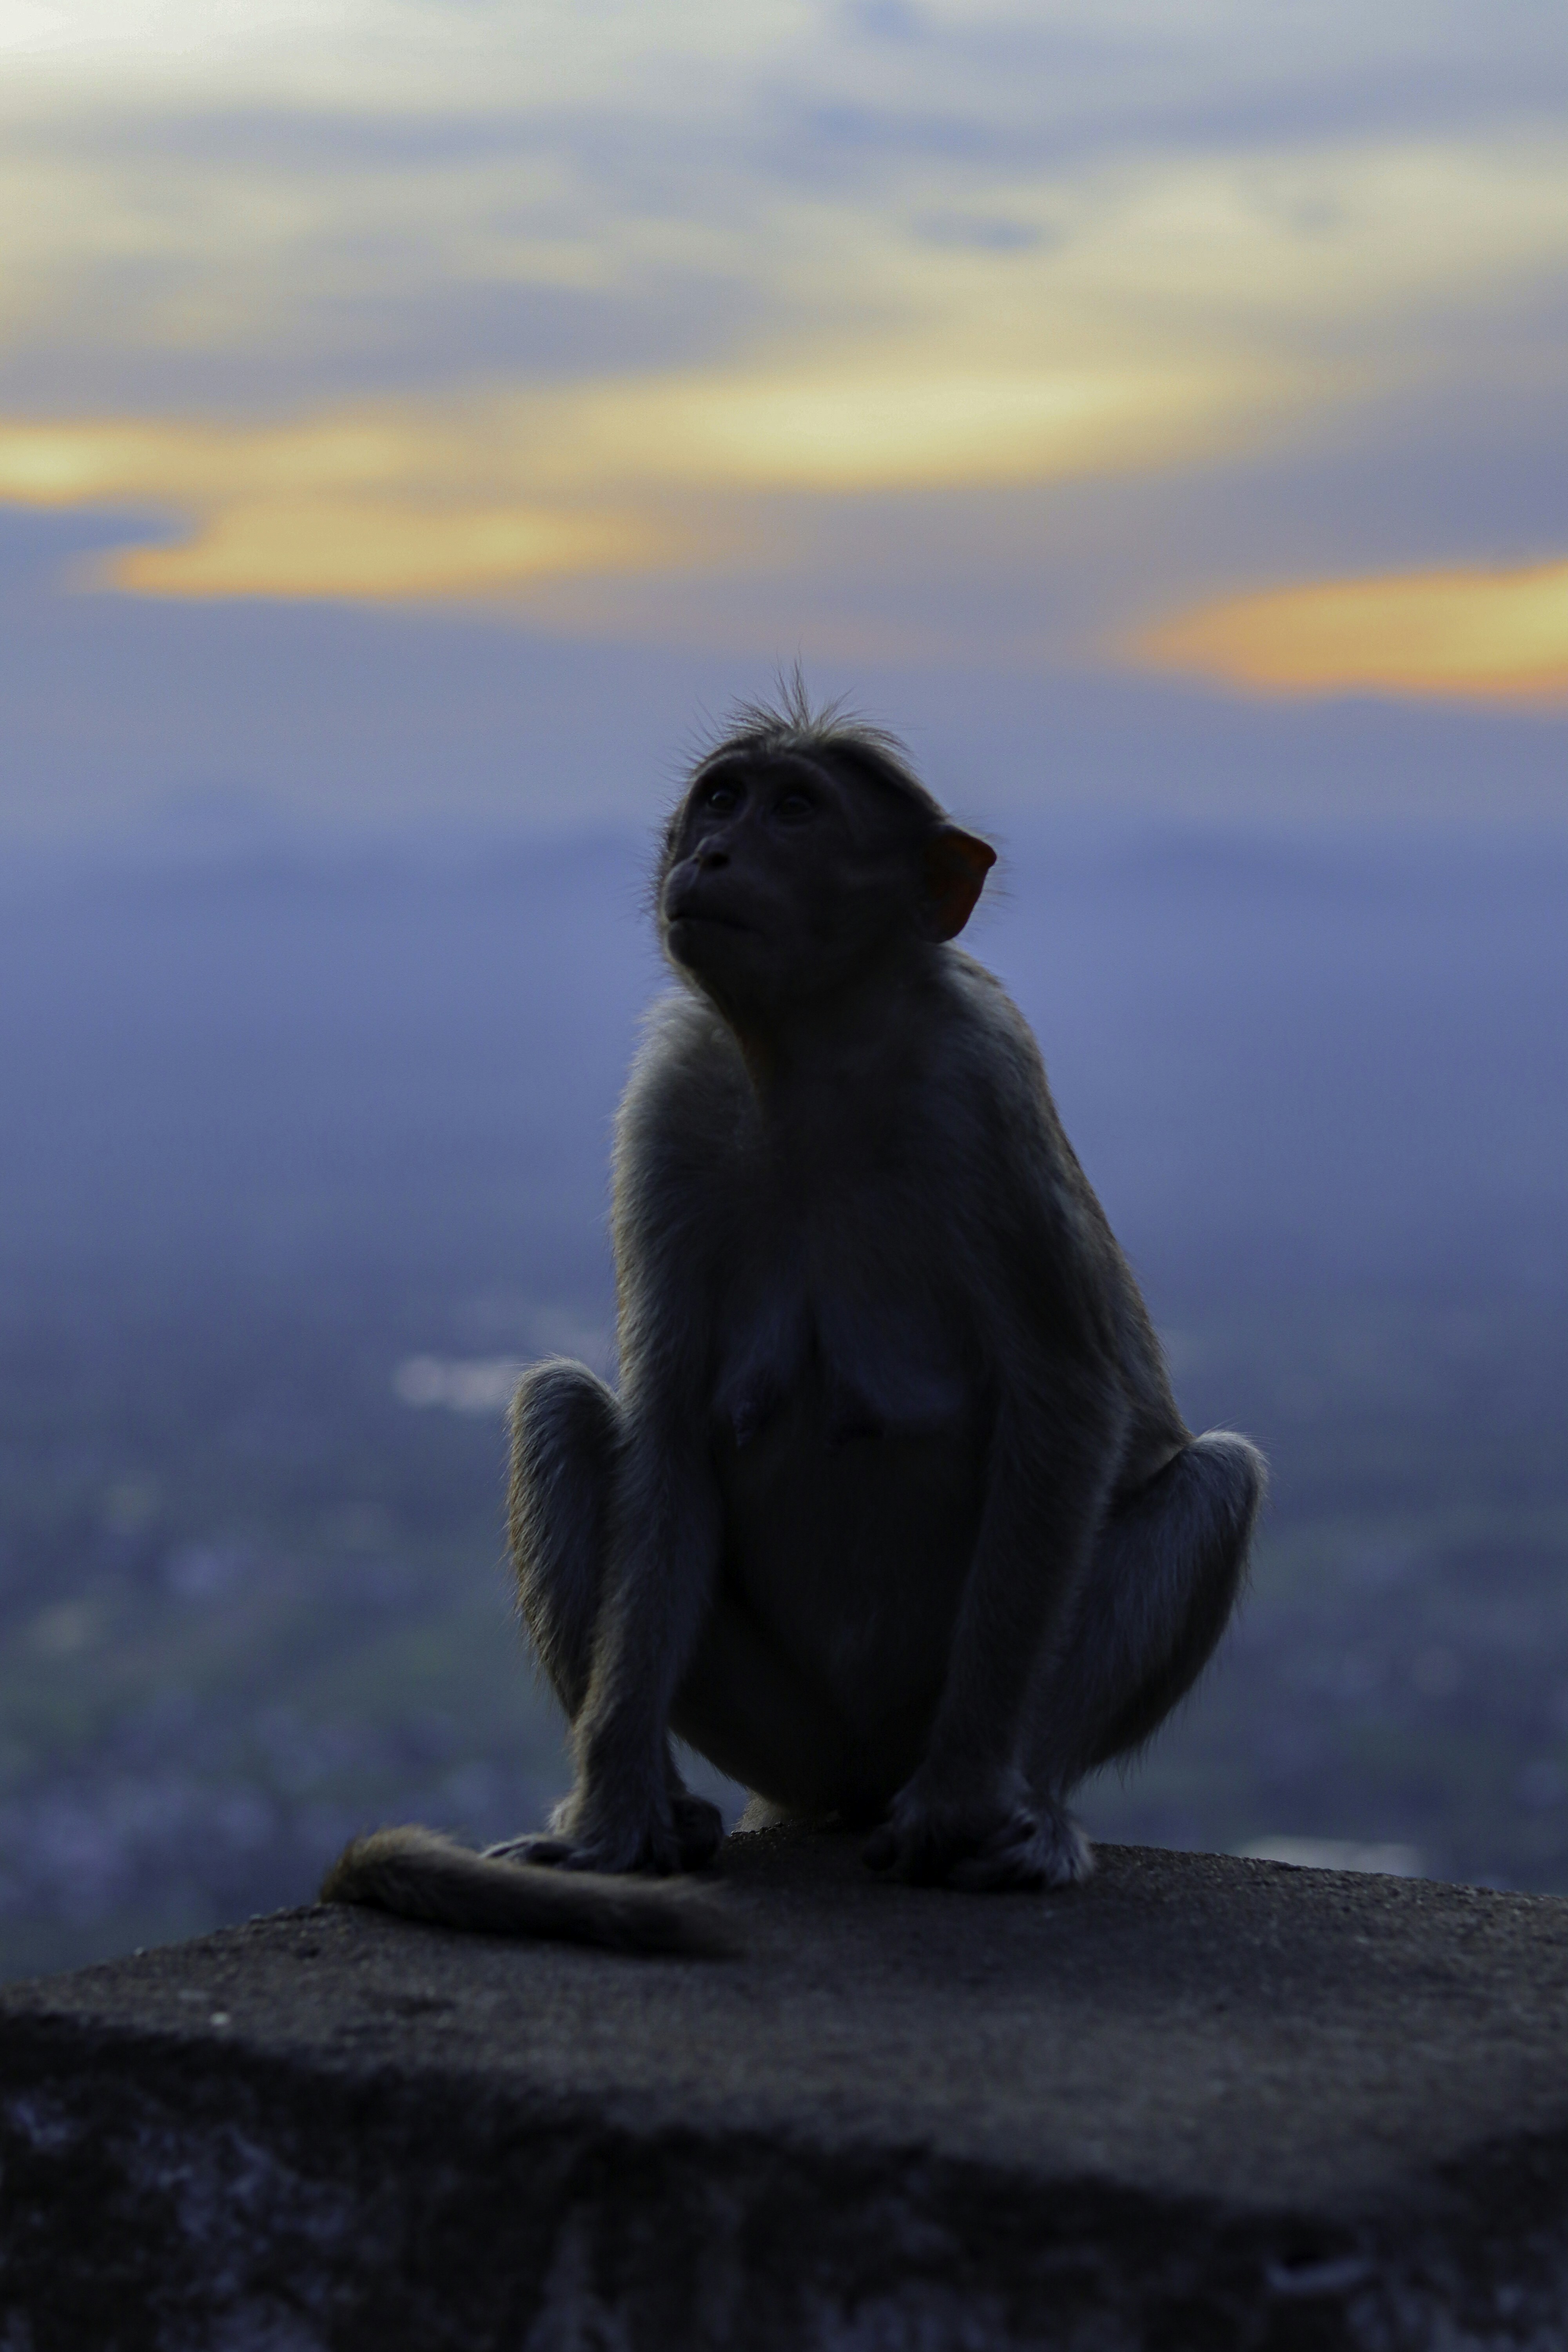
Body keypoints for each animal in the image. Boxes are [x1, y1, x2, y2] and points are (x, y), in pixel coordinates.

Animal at [325, 685, 1264, 1949]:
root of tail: (846, 1785)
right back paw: (663, 1808)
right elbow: (669, 1433)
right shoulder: (671, 1105)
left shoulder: (985, 1086)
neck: (817, 1058)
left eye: (797, 811)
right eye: (723, 799)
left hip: (923, 1719)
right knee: (561, 1408)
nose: (714, 852)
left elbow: (1069, 1404)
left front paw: (966, 1799)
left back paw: (1022, 1814)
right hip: (783, 1731)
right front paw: (610, 1821)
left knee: (1215, 1482)